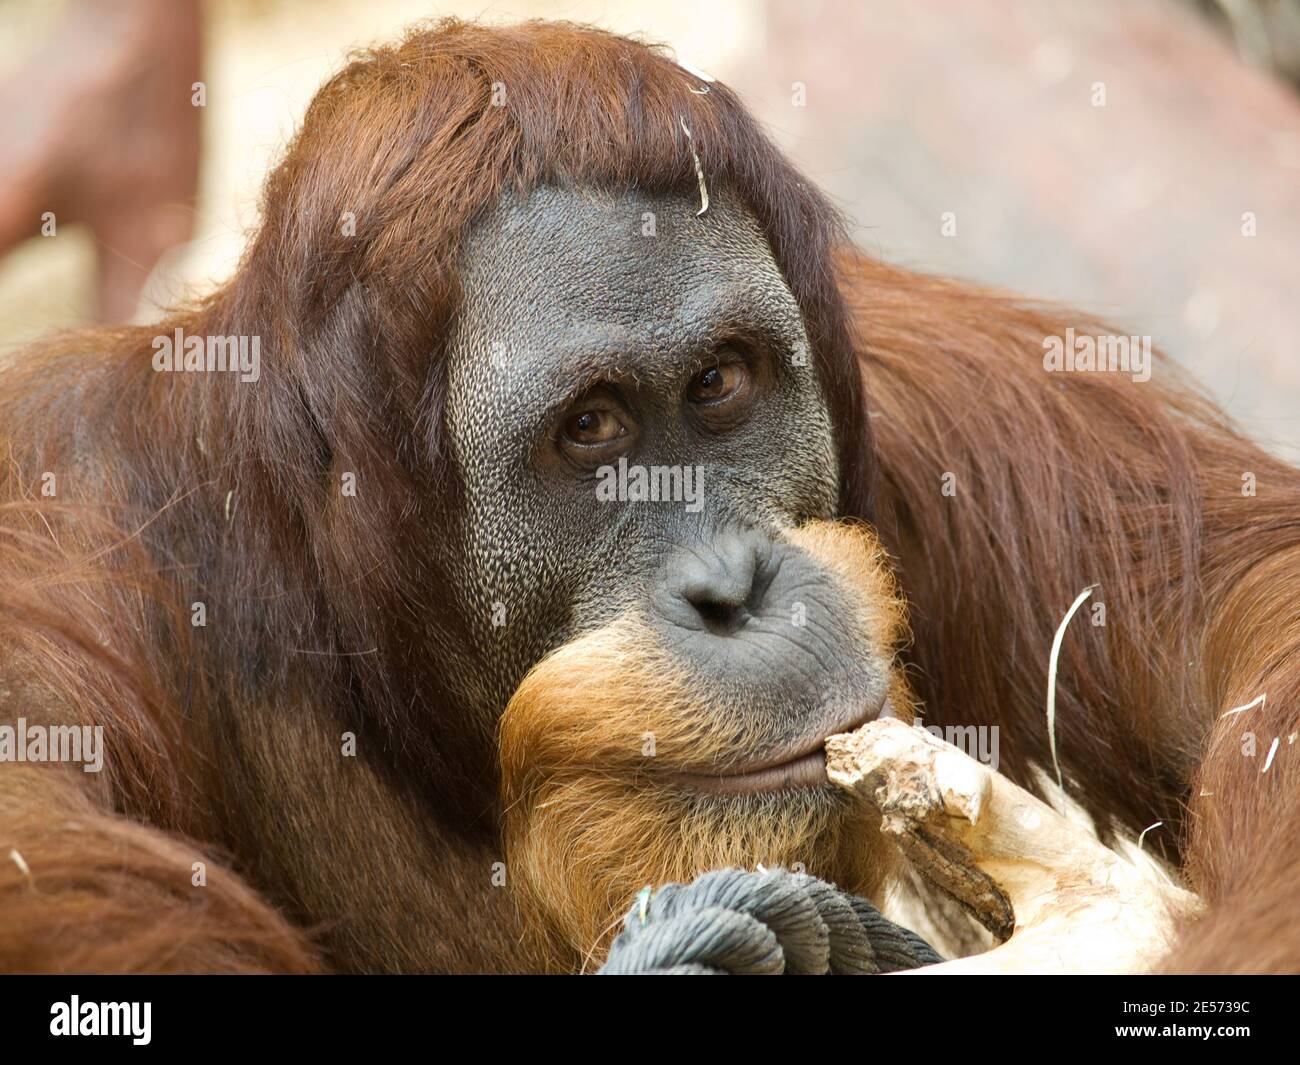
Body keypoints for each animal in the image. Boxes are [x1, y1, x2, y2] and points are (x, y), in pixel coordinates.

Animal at [0, 18, 1296, 974]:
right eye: (592, 427)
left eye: (717, 381)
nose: (734, 584)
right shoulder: (65, 531)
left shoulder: (932, 375)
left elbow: (1246, 591)